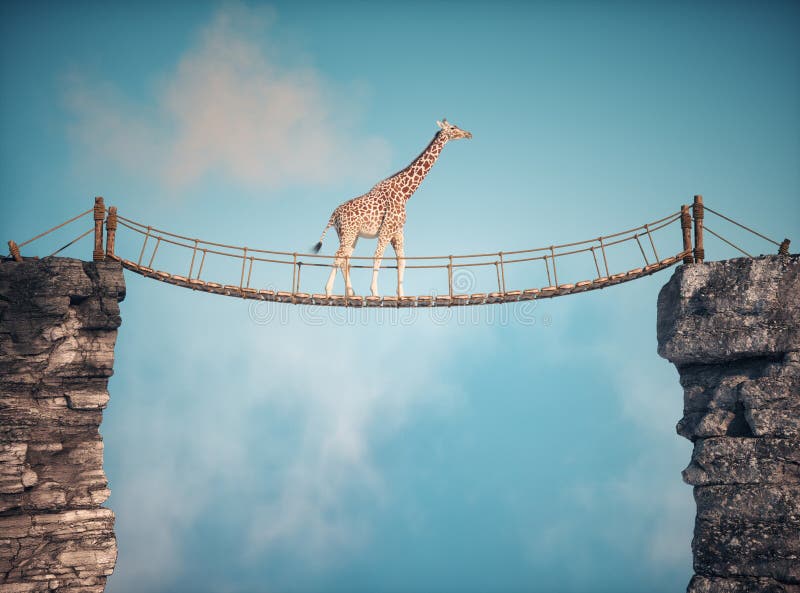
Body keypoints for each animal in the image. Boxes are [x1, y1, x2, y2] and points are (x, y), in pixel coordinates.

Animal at [312, 119, 472, 297]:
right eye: (453, 127)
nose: (468, 134)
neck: (405, 192)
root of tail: (333, 215)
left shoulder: (397, 231)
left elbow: (402, 260)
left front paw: (401, 294)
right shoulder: (387, 229)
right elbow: (377, 256)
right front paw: (374, 292)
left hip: (350, 235)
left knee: (345, 259)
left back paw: (351, 292)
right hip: (348, 232)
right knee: (338, 256)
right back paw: (328, 291)